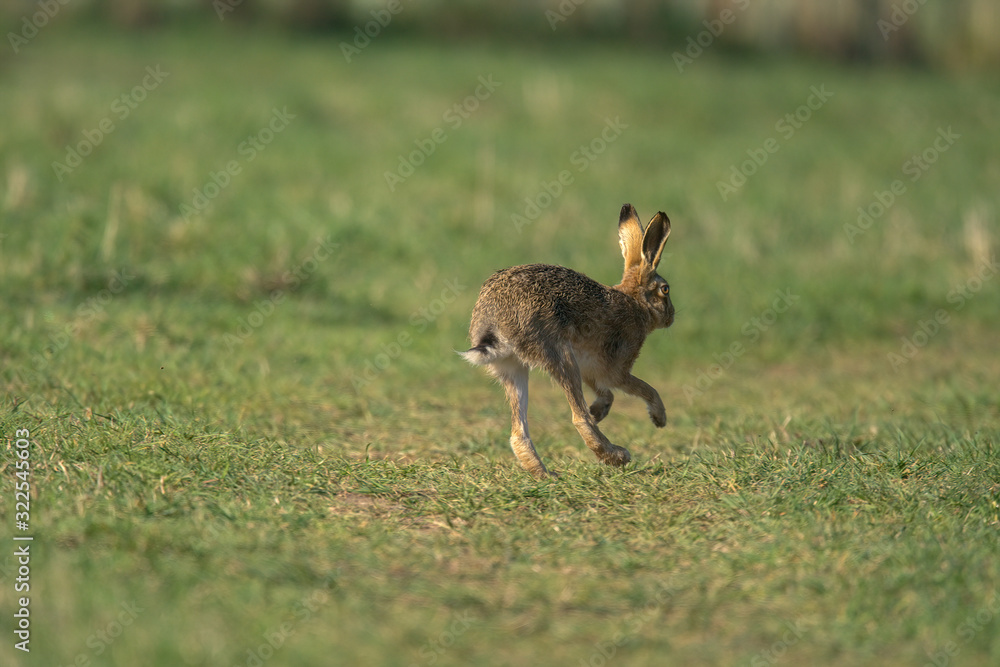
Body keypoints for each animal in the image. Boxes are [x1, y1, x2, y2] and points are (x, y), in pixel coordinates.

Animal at [460, 203, 674, 477]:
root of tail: (492, 322)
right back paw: (617, 456)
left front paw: (598, 410)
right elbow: (643, 388)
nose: (671, 316)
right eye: (665, 290)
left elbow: (606, 393)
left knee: (518, 432)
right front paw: (659, 418)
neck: (634, 302)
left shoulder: (591, 369)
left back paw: (545, 474)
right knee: (578, 418)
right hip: (560, 355)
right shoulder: (616, 368)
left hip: (511, 368)